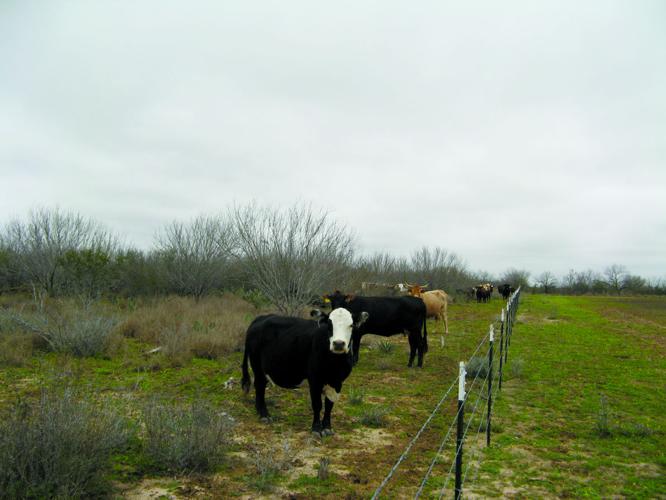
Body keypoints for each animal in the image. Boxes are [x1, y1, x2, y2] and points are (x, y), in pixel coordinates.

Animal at [241, 307, 369, 437]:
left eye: (351, 325)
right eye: (329, 324)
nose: (338, 343)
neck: (334, 365)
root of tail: (261, 318)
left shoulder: (337, 382)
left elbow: (329, 404)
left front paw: (327, 427)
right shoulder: (314, 379)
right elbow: (317, 404)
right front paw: (316, 429)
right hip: (257, 365)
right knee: (259, 386)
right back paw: (264, 415)